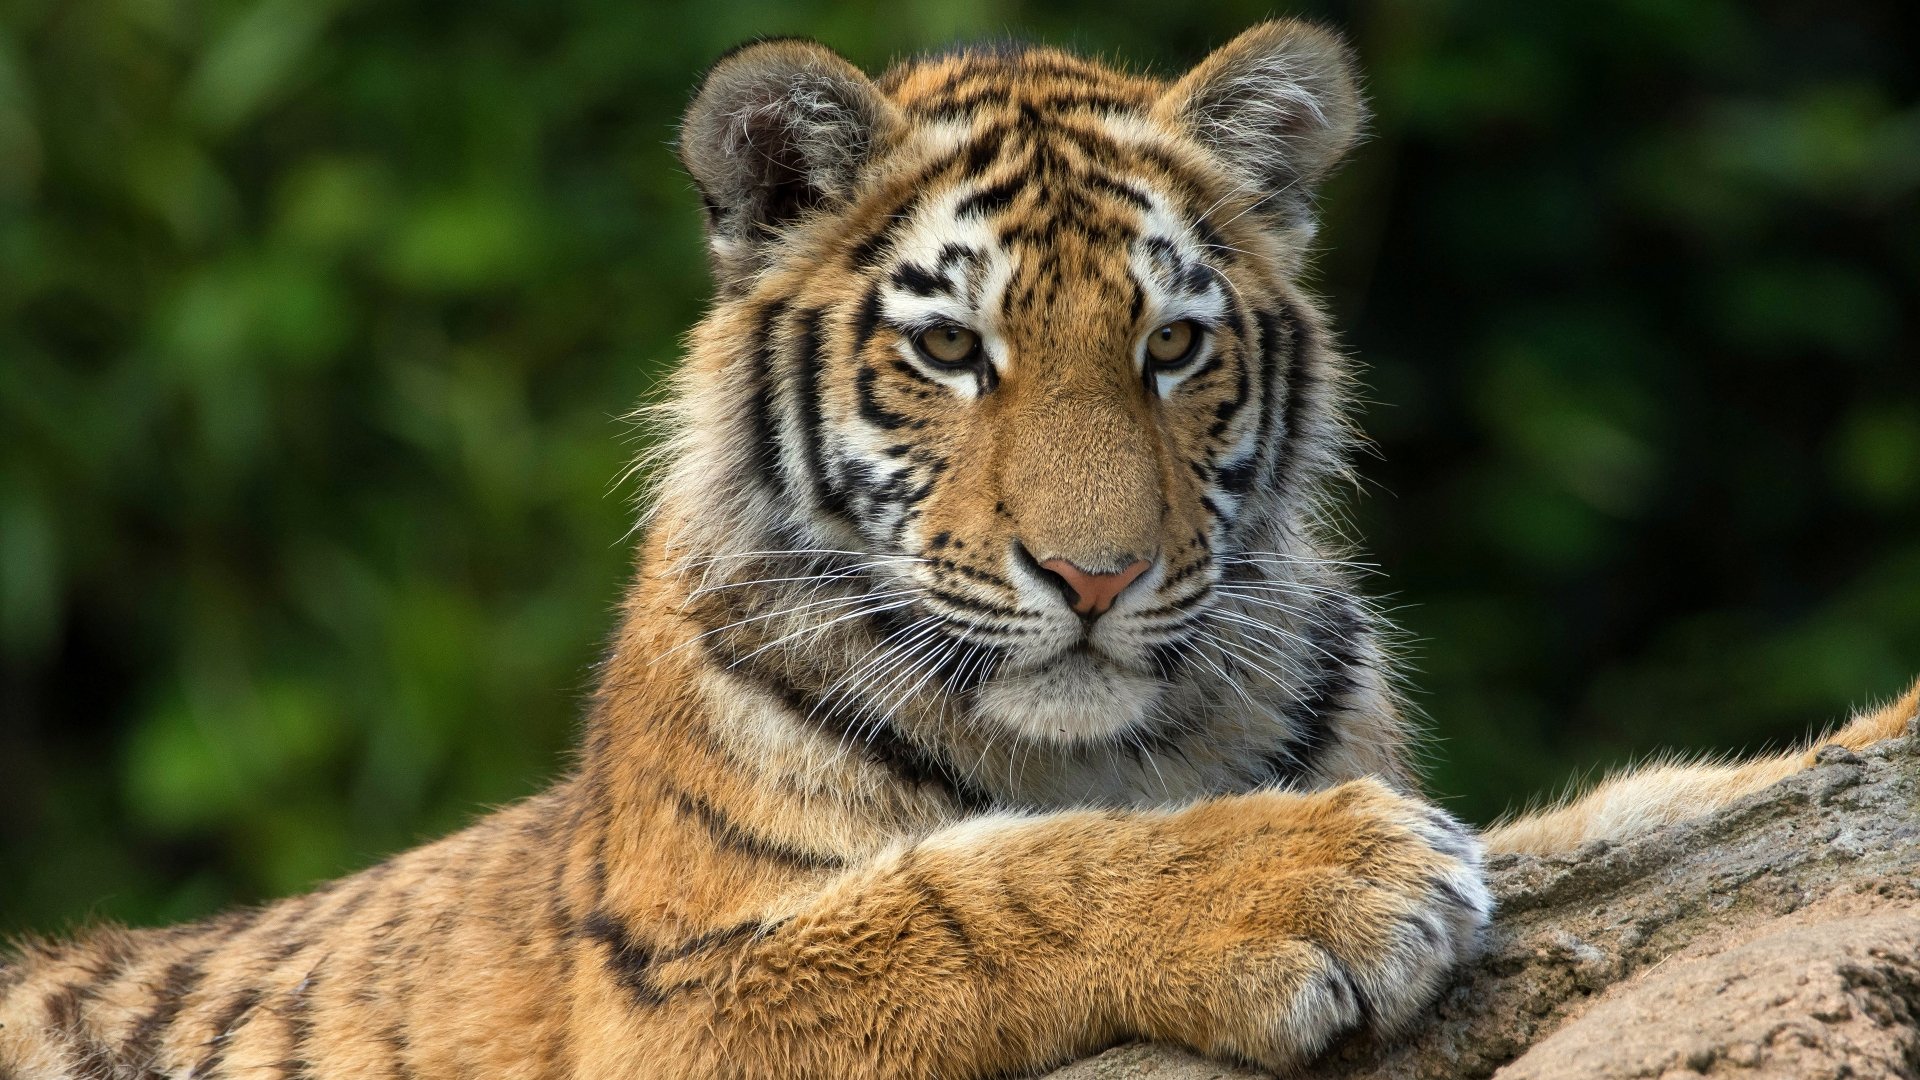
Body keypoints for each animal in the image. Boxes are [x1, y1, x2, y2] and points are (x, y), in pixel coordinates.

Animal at [4, 20, 1916, 1080]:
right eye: (951, 350)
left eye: (1171, 345)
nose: (1097, 580)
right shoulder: (675, 993)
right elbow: (975, 892)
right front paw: (1317, 882)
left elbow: (1660, 806)